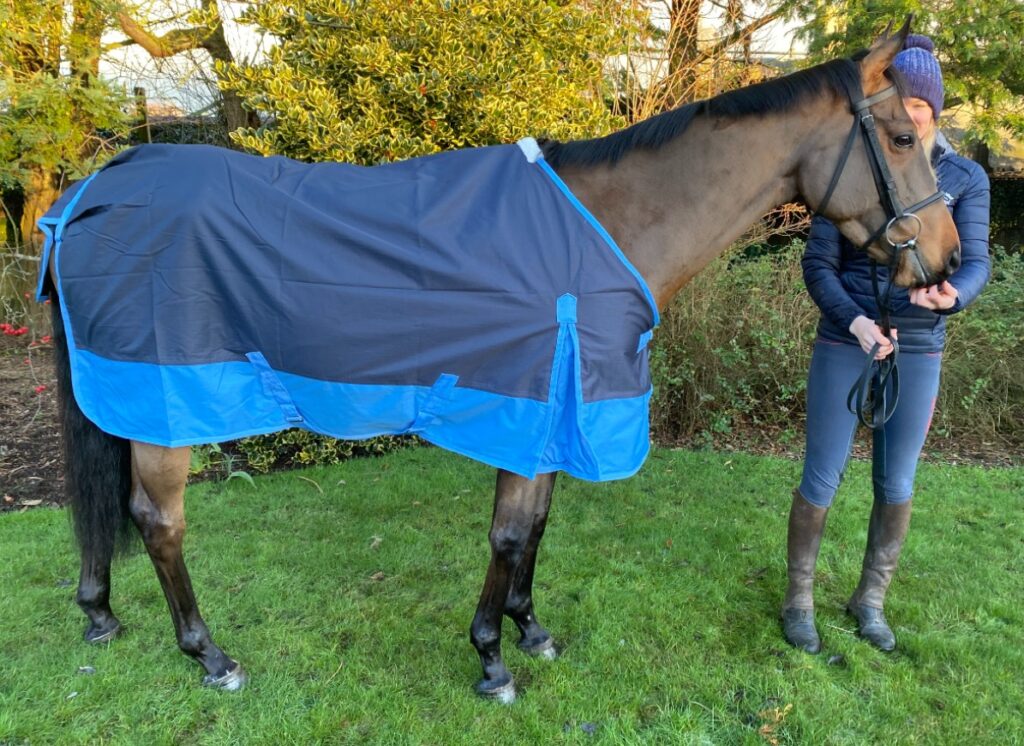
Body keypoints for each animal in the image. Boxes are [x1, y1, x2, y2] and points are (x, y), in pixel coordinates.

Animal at [40, 20, 959, 702]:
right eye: (902, 136)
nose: (947, 263)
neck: (602, 230)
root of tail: (93, 189)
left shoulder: (559, 409)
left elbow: (540, 523)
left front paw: (530, 629)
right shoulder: (532, 401)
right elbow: (514, 530)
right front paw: (490, 658)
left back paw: (100, 615)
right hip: (164, 395)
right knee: (158, 519)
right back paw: (210, 654)